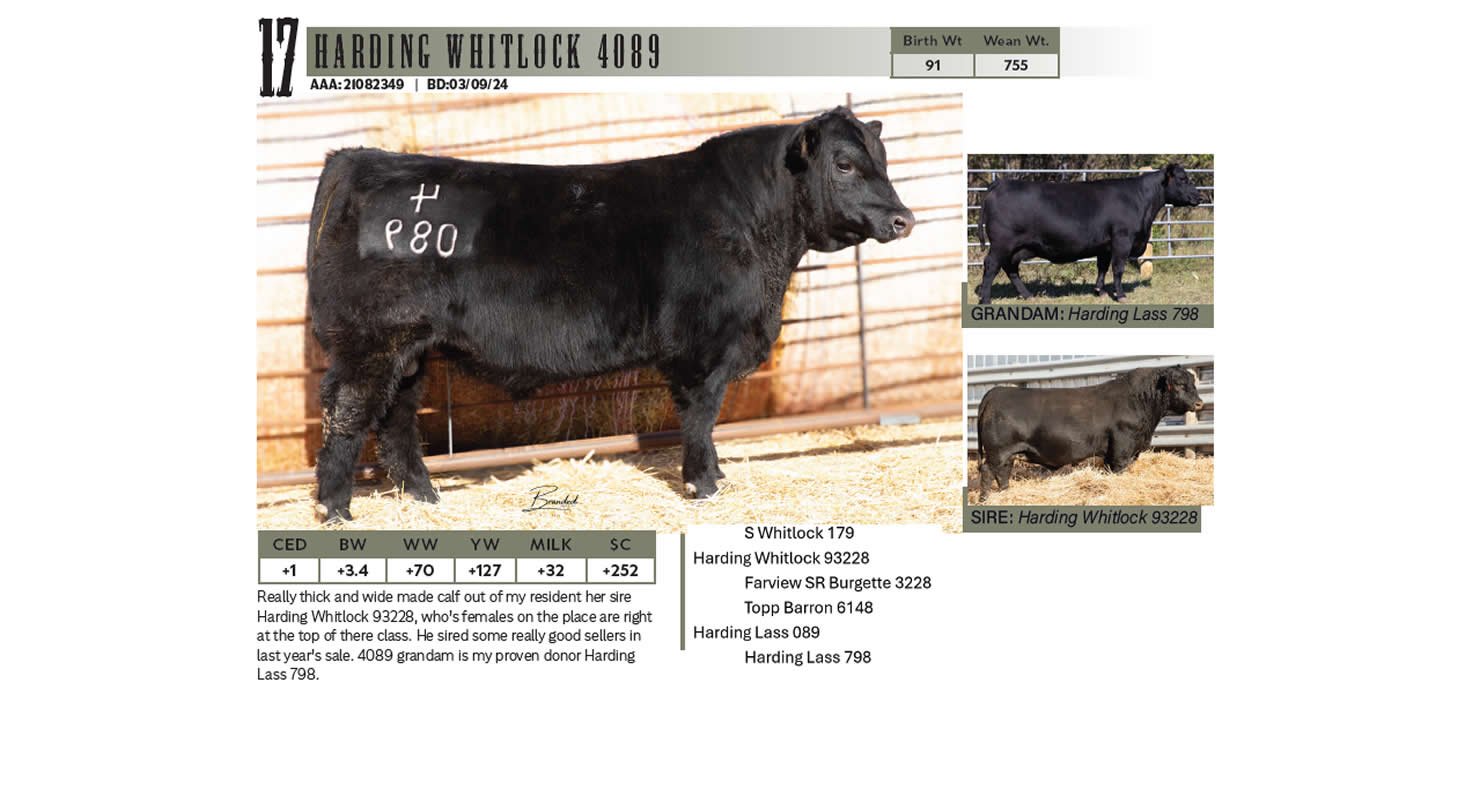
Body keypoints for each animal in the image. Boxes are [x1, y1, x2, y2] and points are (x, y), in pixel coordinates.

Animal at [305, 107, 916, 522]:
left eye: (883, 162)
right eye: (843, 164)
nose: (903, 219)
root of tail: (355, 159)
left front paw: (715, 477)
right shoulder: (701, 350)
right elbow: (701, 418)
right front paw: (703, 485)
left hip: (410, 350)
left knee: (396, 419)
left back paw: (425, 497)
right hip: (371, 342)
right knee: (347, 414)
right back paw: (335, 510)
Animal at [973, 164, 1204, 303]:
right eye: (1182, 178)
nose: (1200, 196)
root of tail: (1000, 183)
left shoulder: (1105, 245)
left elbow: (1102, 267)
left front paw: (1100, 291)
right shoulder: (1122, 240)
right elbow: (1118, 269)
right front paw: (1120, 295)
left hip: (1016, 247)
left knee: (1010, 268)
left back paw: (1027, 295)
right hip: (1002, 243)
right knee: (991, 265)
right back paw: (986, 300)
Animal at [975, 366, 1203, 499]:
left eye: (1193, 383)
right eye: (1180, 384)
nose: (1199, 403)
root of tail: (997, 391)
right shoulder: (1121, 448)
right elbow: (1117, 469)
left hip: (1007, 453)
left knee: (1003, 472)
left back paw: (1004, 494)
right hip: (998, 451)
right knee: (988, 472)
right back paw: (985, 500)